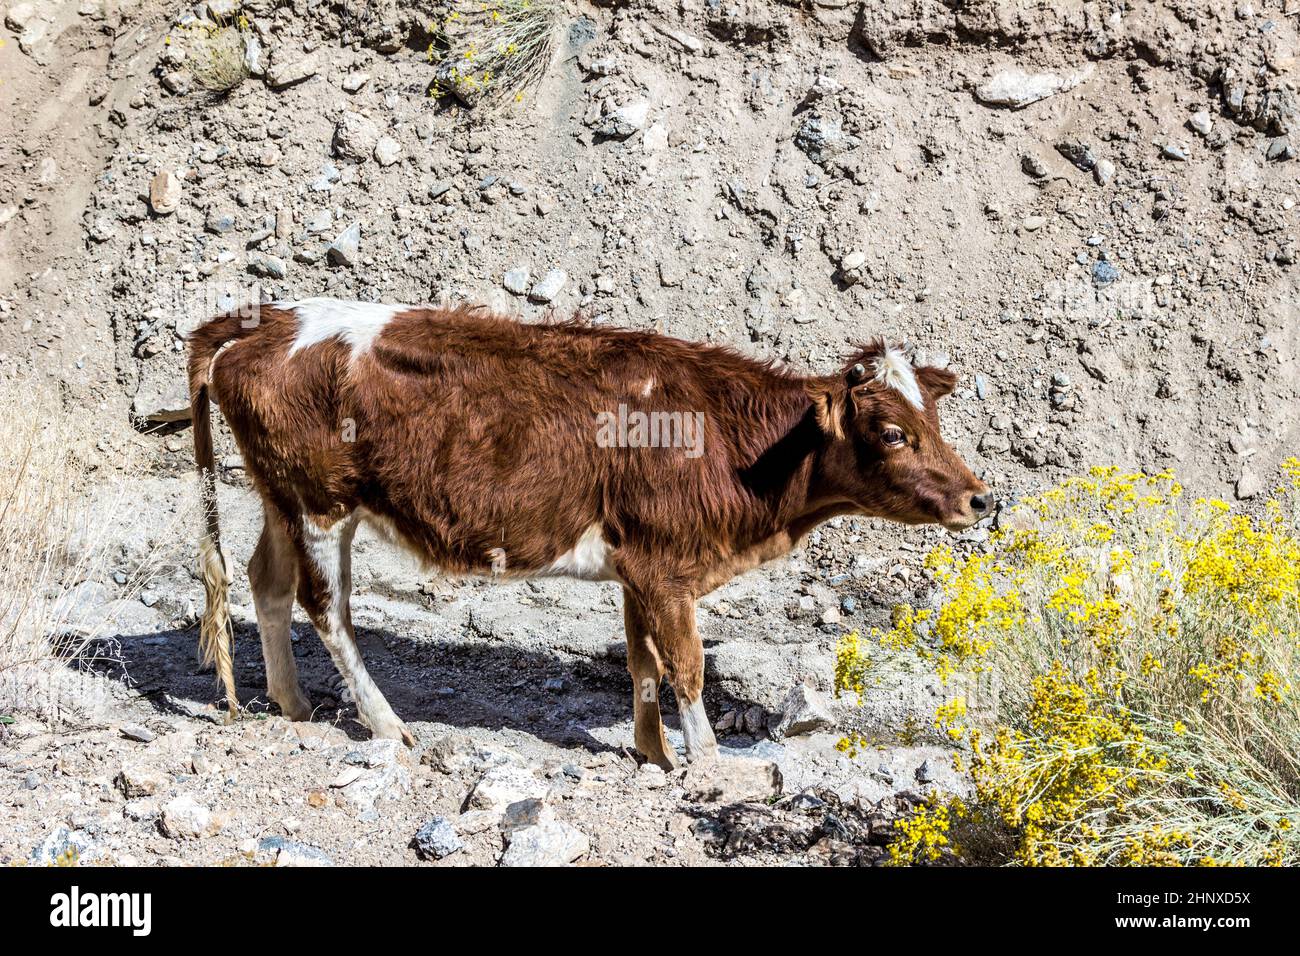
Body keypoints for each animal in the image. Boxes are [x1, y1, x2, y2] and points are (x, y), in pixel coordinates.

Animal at [188, 299, 990, 769]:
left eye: (934, 419)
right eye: (893, 432)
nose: (981, 499)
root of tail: (267, 319)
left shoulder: (640, 567)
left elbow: (641, 664)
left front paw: (653, 754)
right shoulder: (666, 569)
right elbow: (686, 666)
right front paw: (711, 767)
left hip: (282, 497)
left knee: (267, 583)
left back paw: (292, 703)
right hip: (321, 505)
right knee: (328, 609)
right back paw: (385, 725)